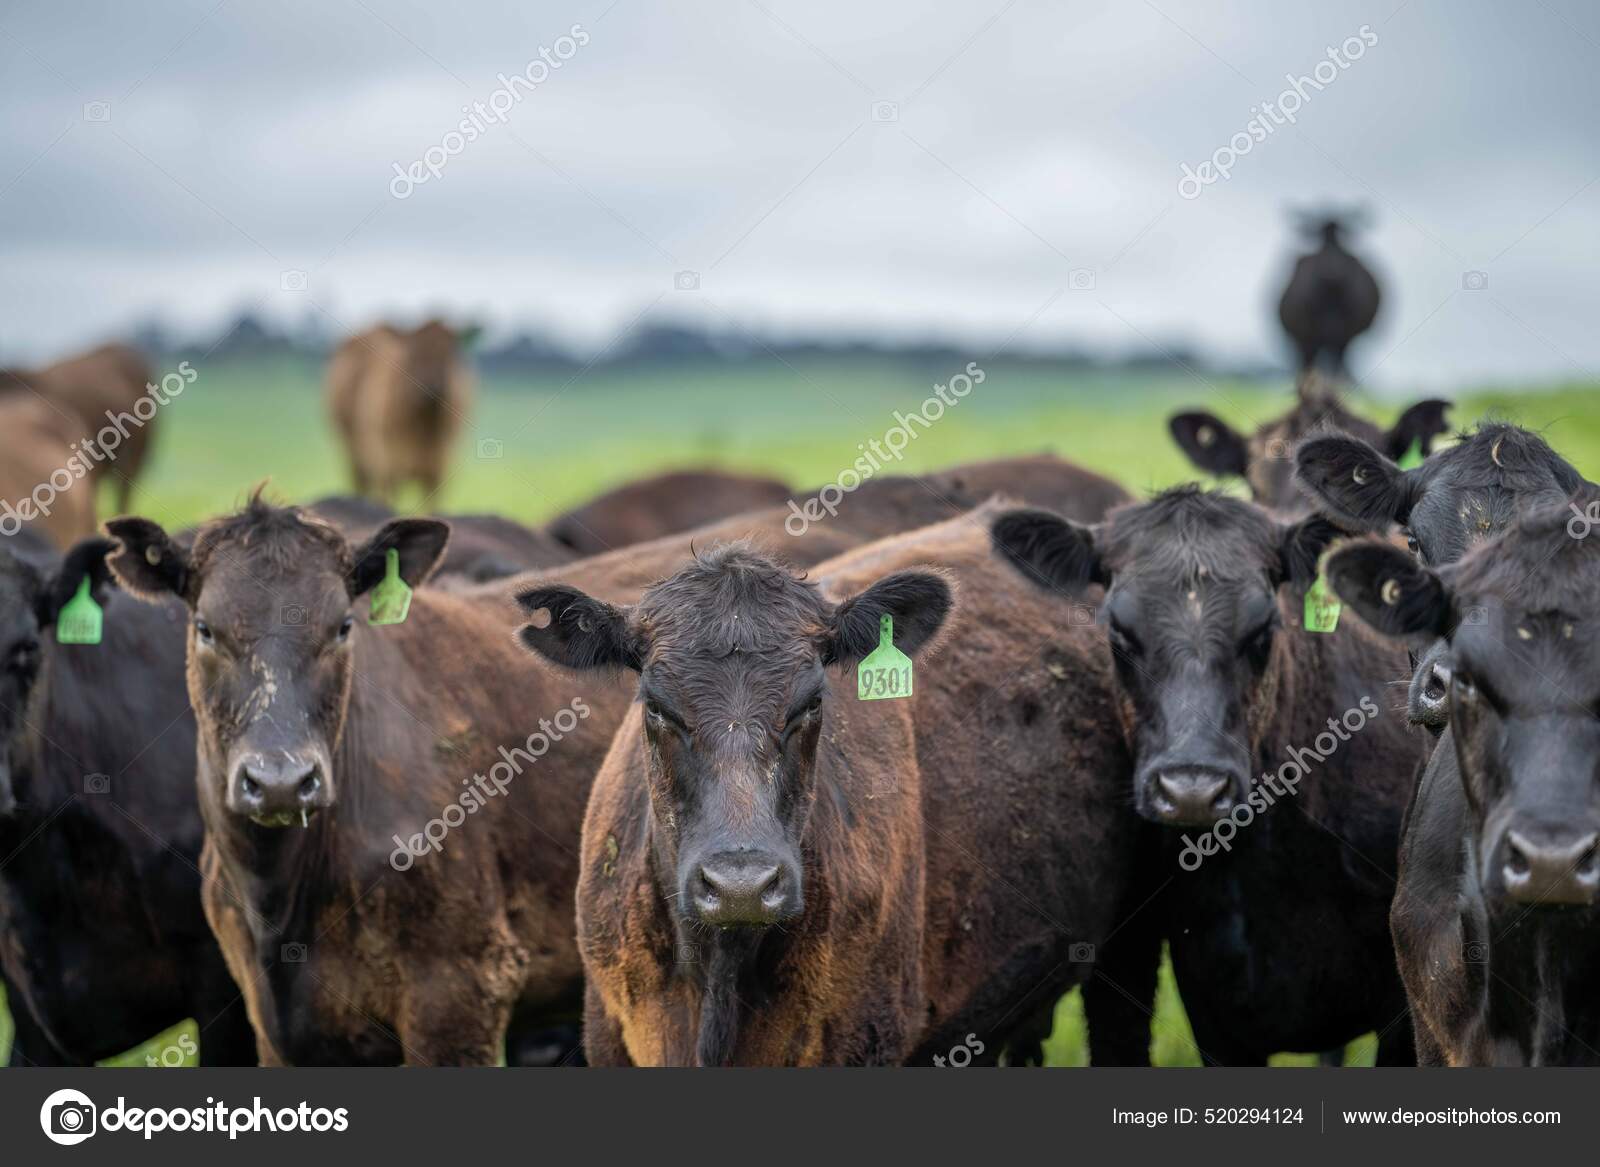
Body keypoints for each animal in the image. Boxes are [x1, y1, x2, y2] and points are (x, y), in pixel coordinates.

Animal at [326, 321, 472, 504]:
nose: (435, 387)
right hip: (353, 454)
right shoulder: (388, 464)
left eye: (450, 352)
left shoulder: (437, 468)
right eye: (414, 353)